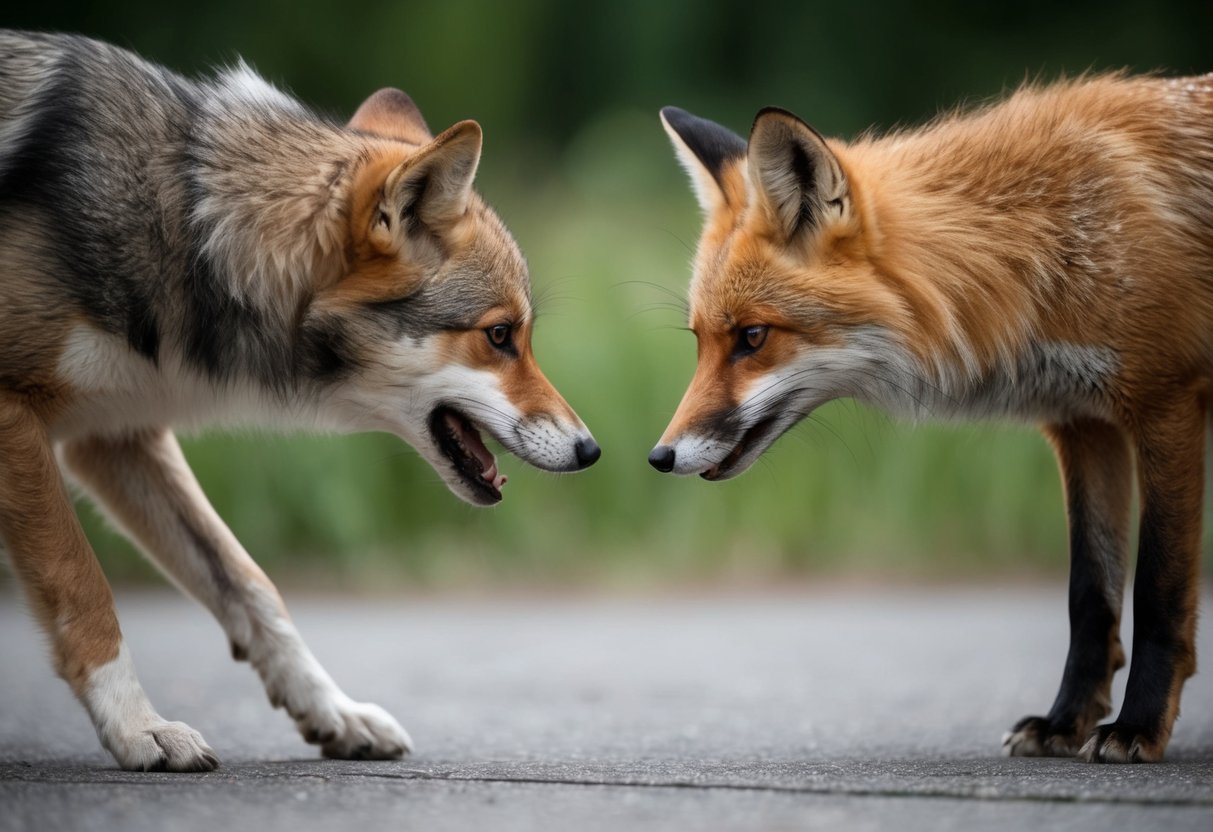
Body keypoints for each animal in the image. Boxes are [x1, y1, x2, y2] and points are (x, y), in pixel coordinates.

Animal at [0, 30, 599, 771]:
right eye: (499, 335)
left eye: (522, 334)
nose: (591, 449)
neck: (188, 230)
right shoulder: (19, 416)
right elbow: (82, 585)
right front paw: (139, 728)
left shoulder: (115, 439)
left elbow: (251, 587)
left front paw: (335, 714)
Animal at [650, 73, 1213, 763]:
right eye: (700, 341)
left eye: (752, 337)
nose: (660, 456)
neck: (1042, 246)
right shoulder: (1084, 425)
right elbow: (1088, 595)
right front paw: (1064, 722)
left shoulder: (1166, 403)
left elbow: (1159, 590)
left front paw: (1138, 727)